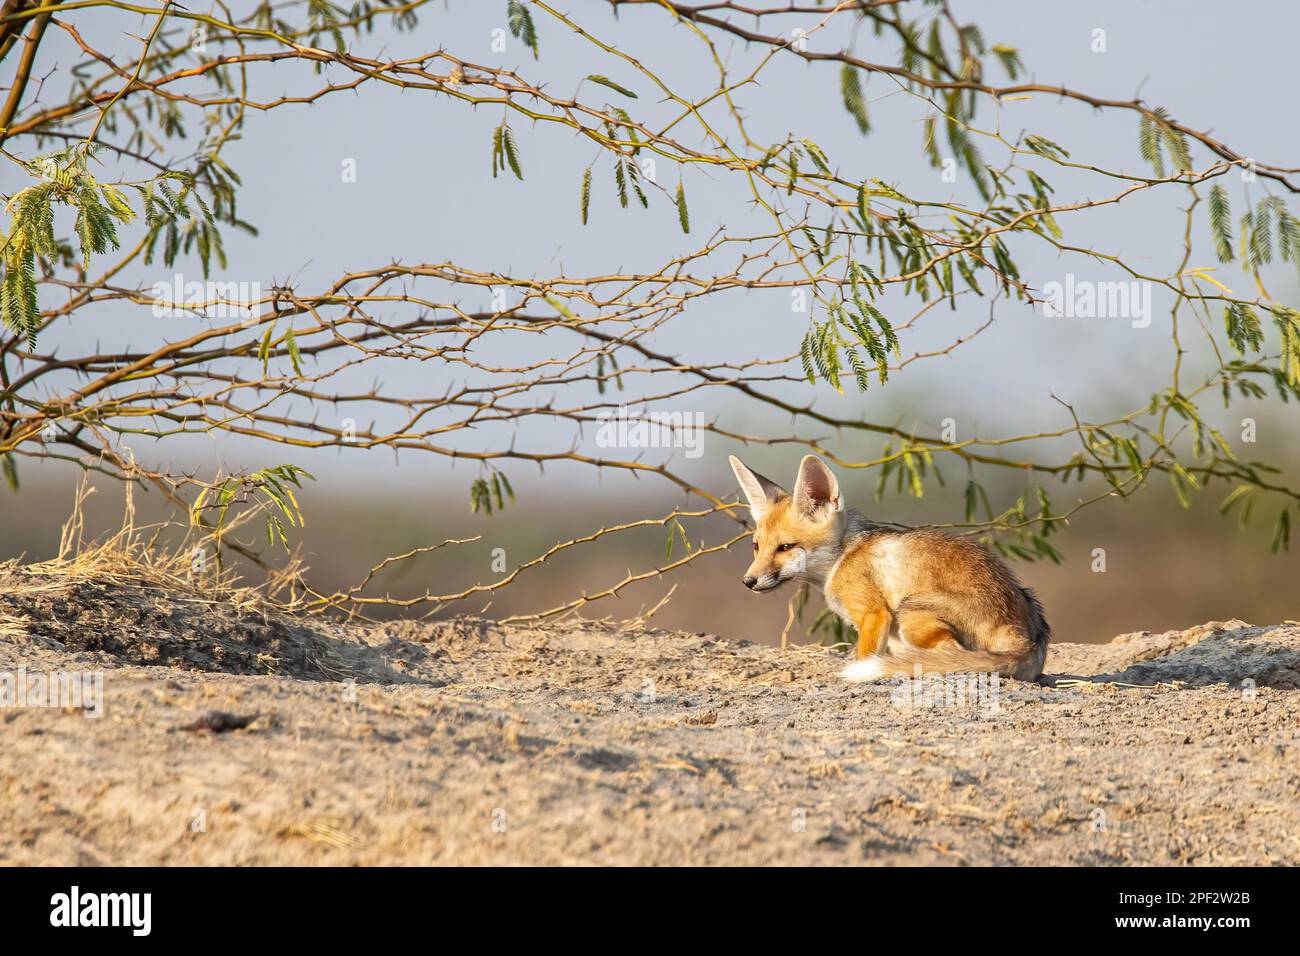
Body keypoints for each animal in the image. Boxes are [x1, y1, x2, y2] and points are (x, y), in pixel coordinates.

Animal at [729, 454, 1050, 683]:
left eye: (785, 547)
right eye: (756, 546)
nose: (748, 581)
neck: (843, 556)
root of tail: (1028, 634)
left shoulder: (874, 614)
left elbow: (864, 656)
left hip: (909, 614)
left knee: (952, 656)